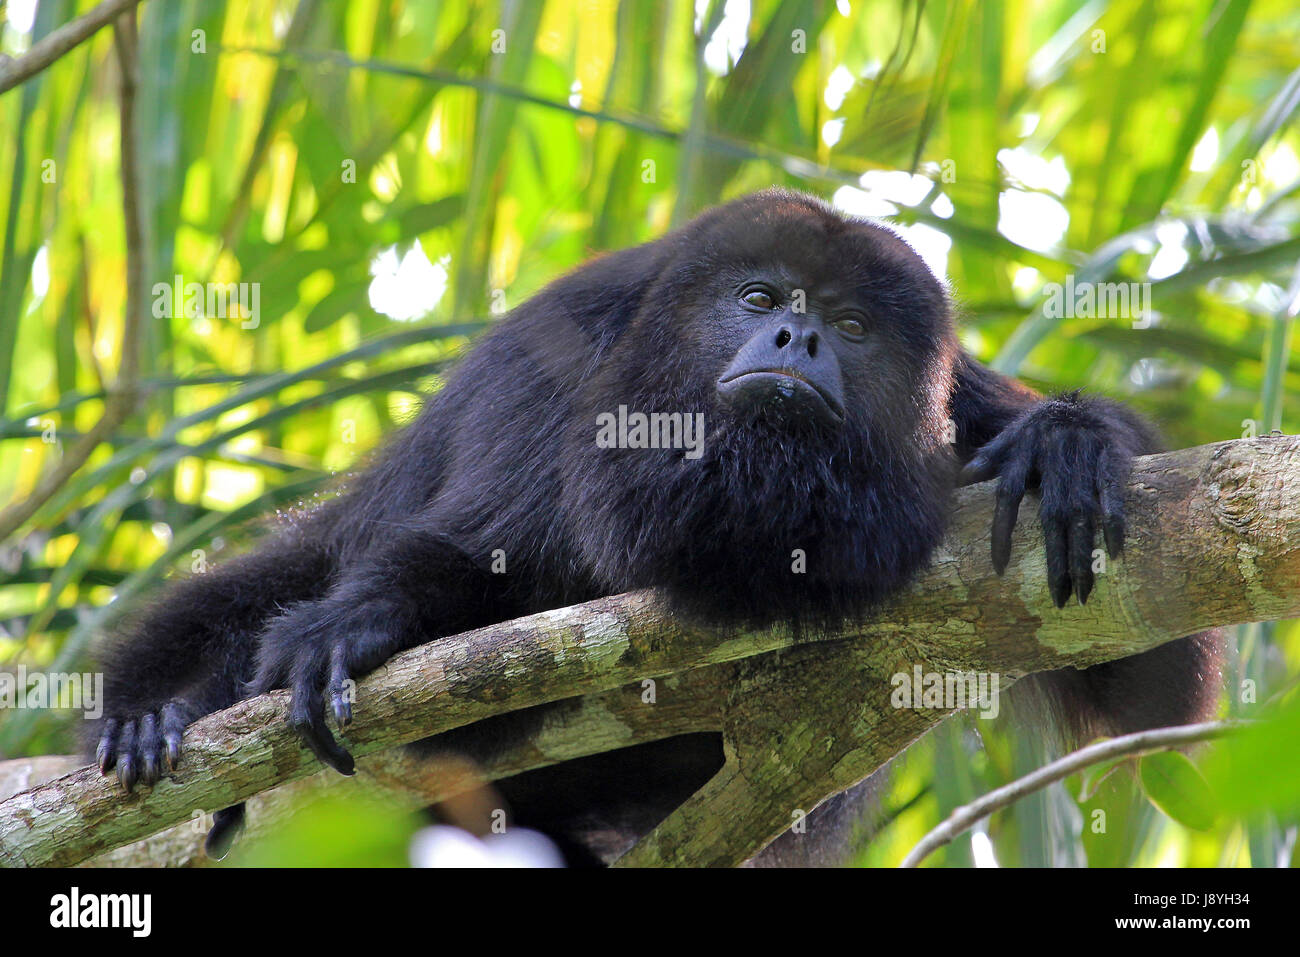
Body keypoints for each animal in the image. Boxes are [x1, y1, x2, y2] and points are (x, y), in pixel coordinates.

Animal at [90, 189, 1221, 864]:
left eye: (854, 325)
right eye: (758, 297)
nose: (799, 335)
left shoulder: (948, 411)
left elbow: (1145, 674)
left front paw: (1065, 442)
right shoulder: (556, 360)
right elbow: (468, 557)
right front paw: (354, 626)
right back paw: (157, 714)